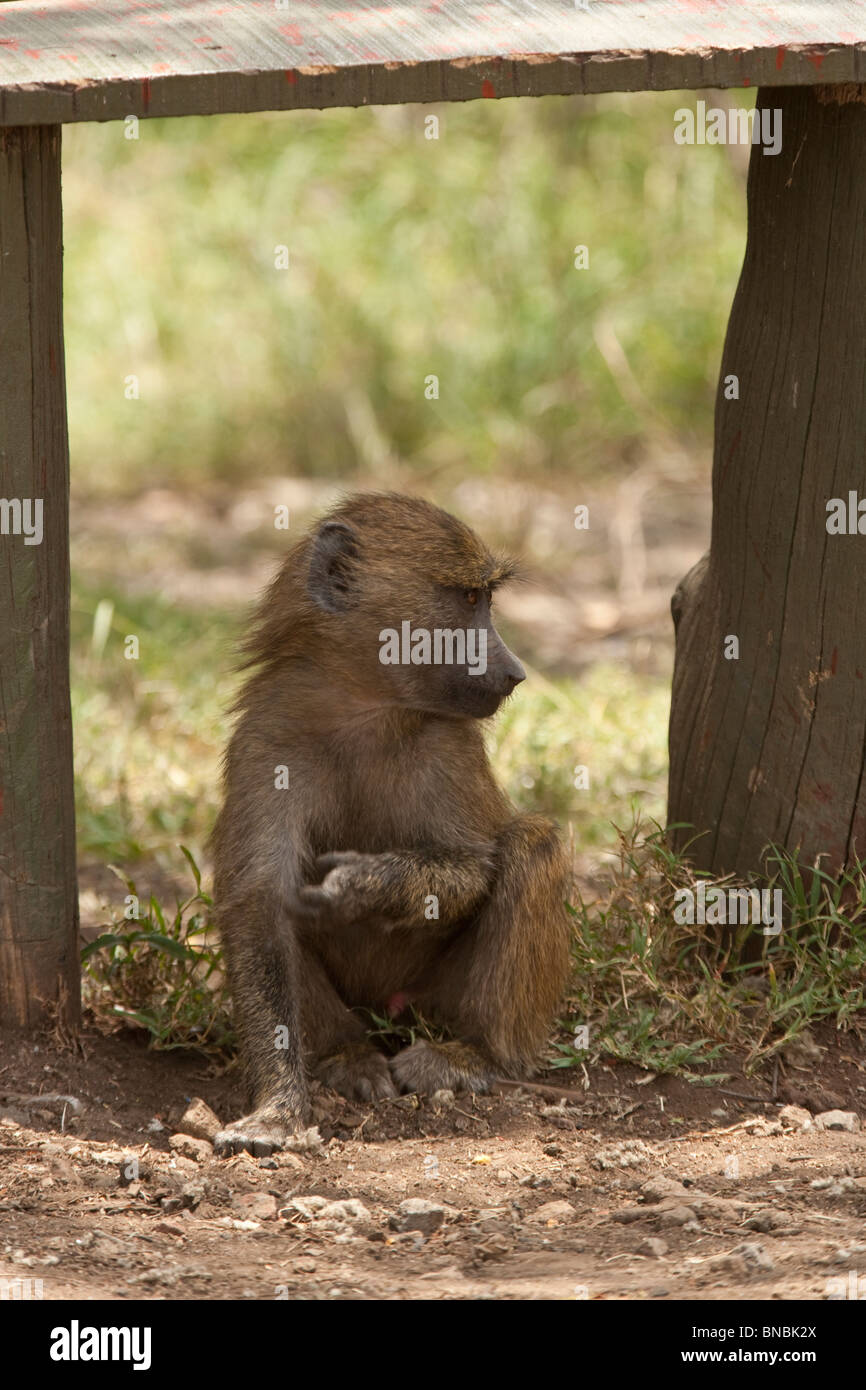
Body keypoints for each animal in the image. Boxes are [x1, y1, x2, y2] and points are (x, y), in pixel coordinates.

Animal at [210, 492, 571, 1156]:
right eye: (469, 599)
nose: (514, 672)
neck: (365, 710)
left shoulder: (450, 744)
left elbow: (475, 868)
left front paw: (366, 885)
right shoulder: (264, 739)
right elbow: (260, 904)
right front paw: (277, 1110)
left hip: (435, 996)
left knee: (534, 846)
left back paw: (473, 1054)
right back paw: (346, 1055)